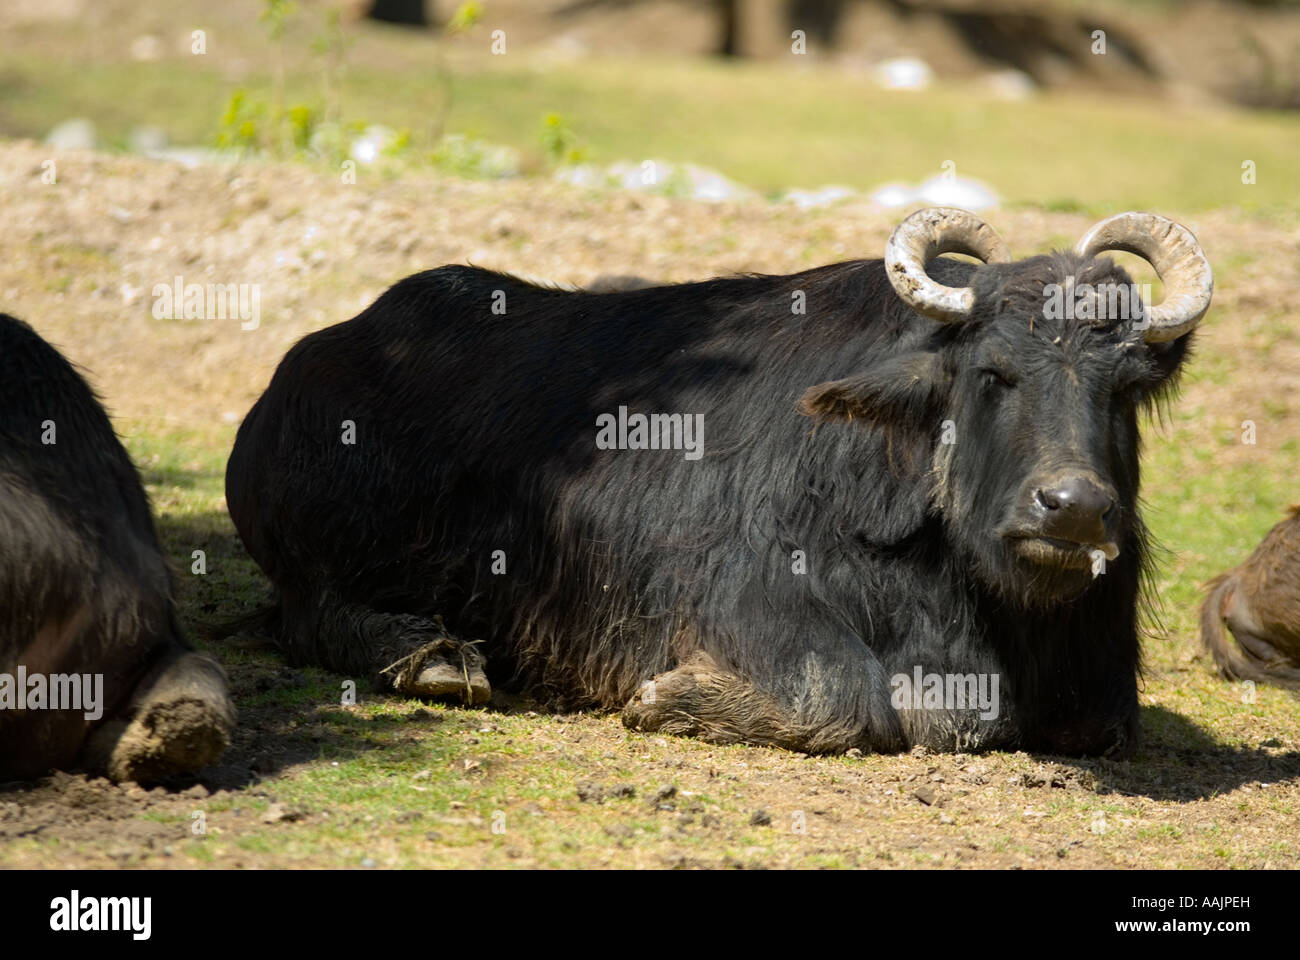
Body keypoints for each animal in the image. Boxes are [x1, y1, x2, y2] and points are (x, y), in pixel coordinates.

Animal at [225, 207, 1212, 757]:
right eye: (994, 373)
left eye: (1124, 387)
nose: (1072, 509)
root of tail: (312, 363)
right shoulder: (740, 591)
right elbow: (851, 696)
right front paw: (671, 697)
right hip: (326, 541)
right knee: (310, 615)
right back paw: (432, 657)